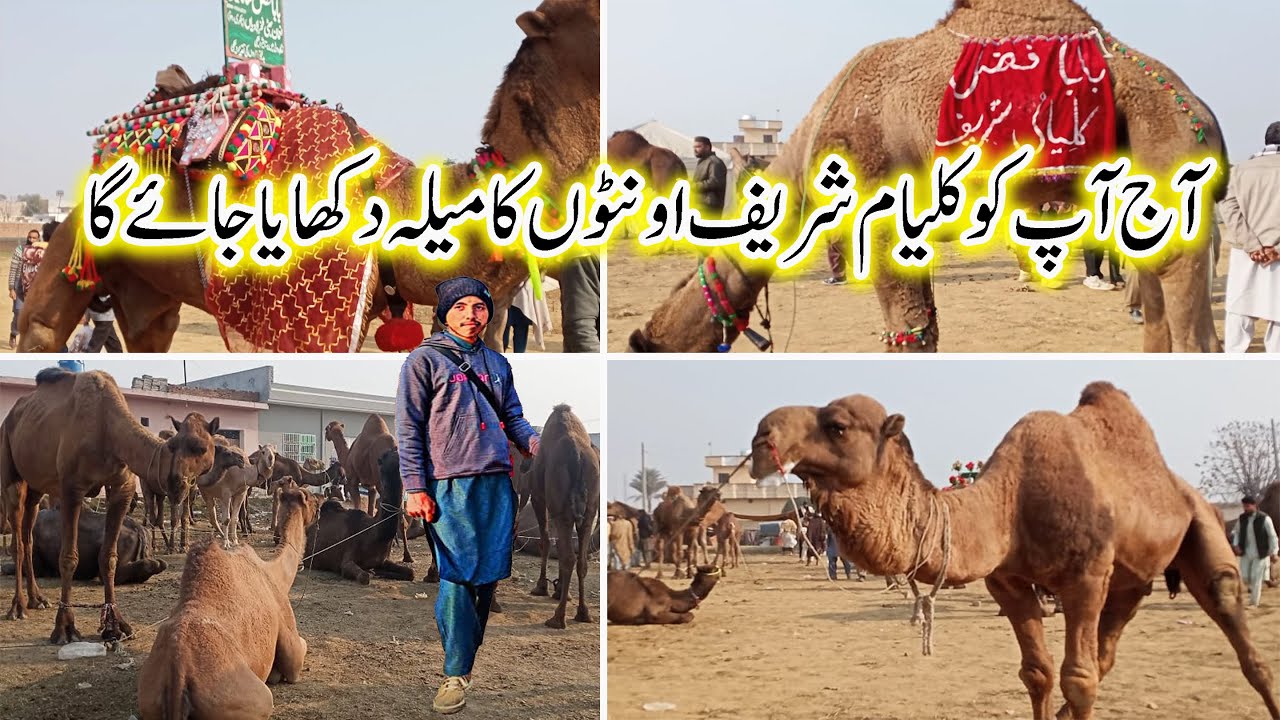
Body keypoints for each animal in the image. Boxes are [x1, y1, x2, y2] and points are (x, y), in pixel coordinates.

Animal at [136, 482, 318, 719]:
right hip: (253, 698)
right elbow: (299, 653)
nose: (320, 503)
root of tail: (177, 676)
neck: (275, 574)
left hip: (148, 700)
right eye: (310, 498)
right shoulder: (287, 630)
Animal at [303, 449, 413, 584]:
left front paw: (379, 572)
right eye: (382, 460)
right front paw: (372, 572)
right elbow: (364, 576)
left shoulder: (382, 560)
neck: (374, 532)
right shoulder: (346, 560)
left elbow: (411, 573)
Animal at [527, 404, 600, 628]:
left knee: (568, 556)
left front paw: (542, 587)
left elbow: (545, 540)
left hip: (561, 506)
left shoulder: (539, 498)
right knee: (581, 560)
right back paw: (583, 613)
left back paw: (557, 618)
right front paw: (560, 592)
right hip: (589, 509)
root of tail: (577, 455)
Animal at [629, 0, 1224, 354]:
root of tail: (1205, 113)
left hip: (1167, 143)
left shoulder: (875, 192)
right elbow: (924, 324)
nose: (637, 340)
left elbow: (907, 329)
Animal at [749, 382, 1278, 719]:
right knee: (1110, 648)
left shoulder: (1084, 577)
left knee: (1234, 622)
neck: (1010, 501)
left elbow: (1077, 678)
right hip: (1132, 580)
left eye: (836, 425)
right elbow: (1037, 673)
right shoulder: (1008, 581)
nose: (760, 437)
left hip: (1203, 527)